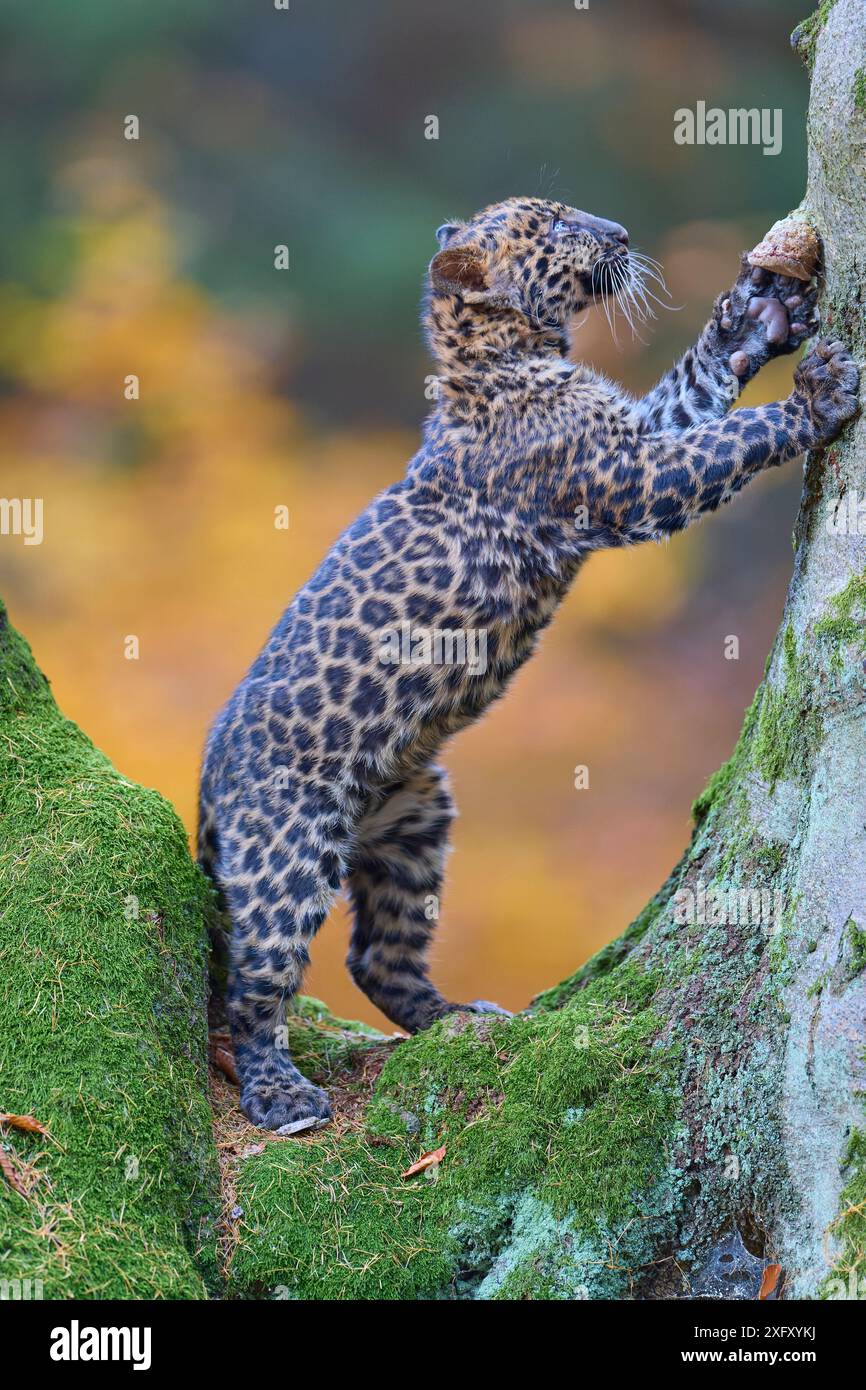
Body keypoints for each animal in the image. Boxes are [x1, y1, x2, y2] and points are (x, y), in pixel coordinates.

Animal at [198, 196, 859, 1134]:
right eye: (550, 227)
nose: (620, 232)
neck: (504, 358)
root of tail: (209, 779)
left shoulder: (639, 434)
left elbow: (695, 388)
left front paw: (756, 318)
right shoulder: (629, 477)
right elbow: (729, 437)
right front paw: (816, 396)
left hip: (414, 824)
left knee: (377, 957)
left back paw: (456, 1020)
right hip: (286, 852)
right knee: (254, 986)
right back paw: (282, 1093)